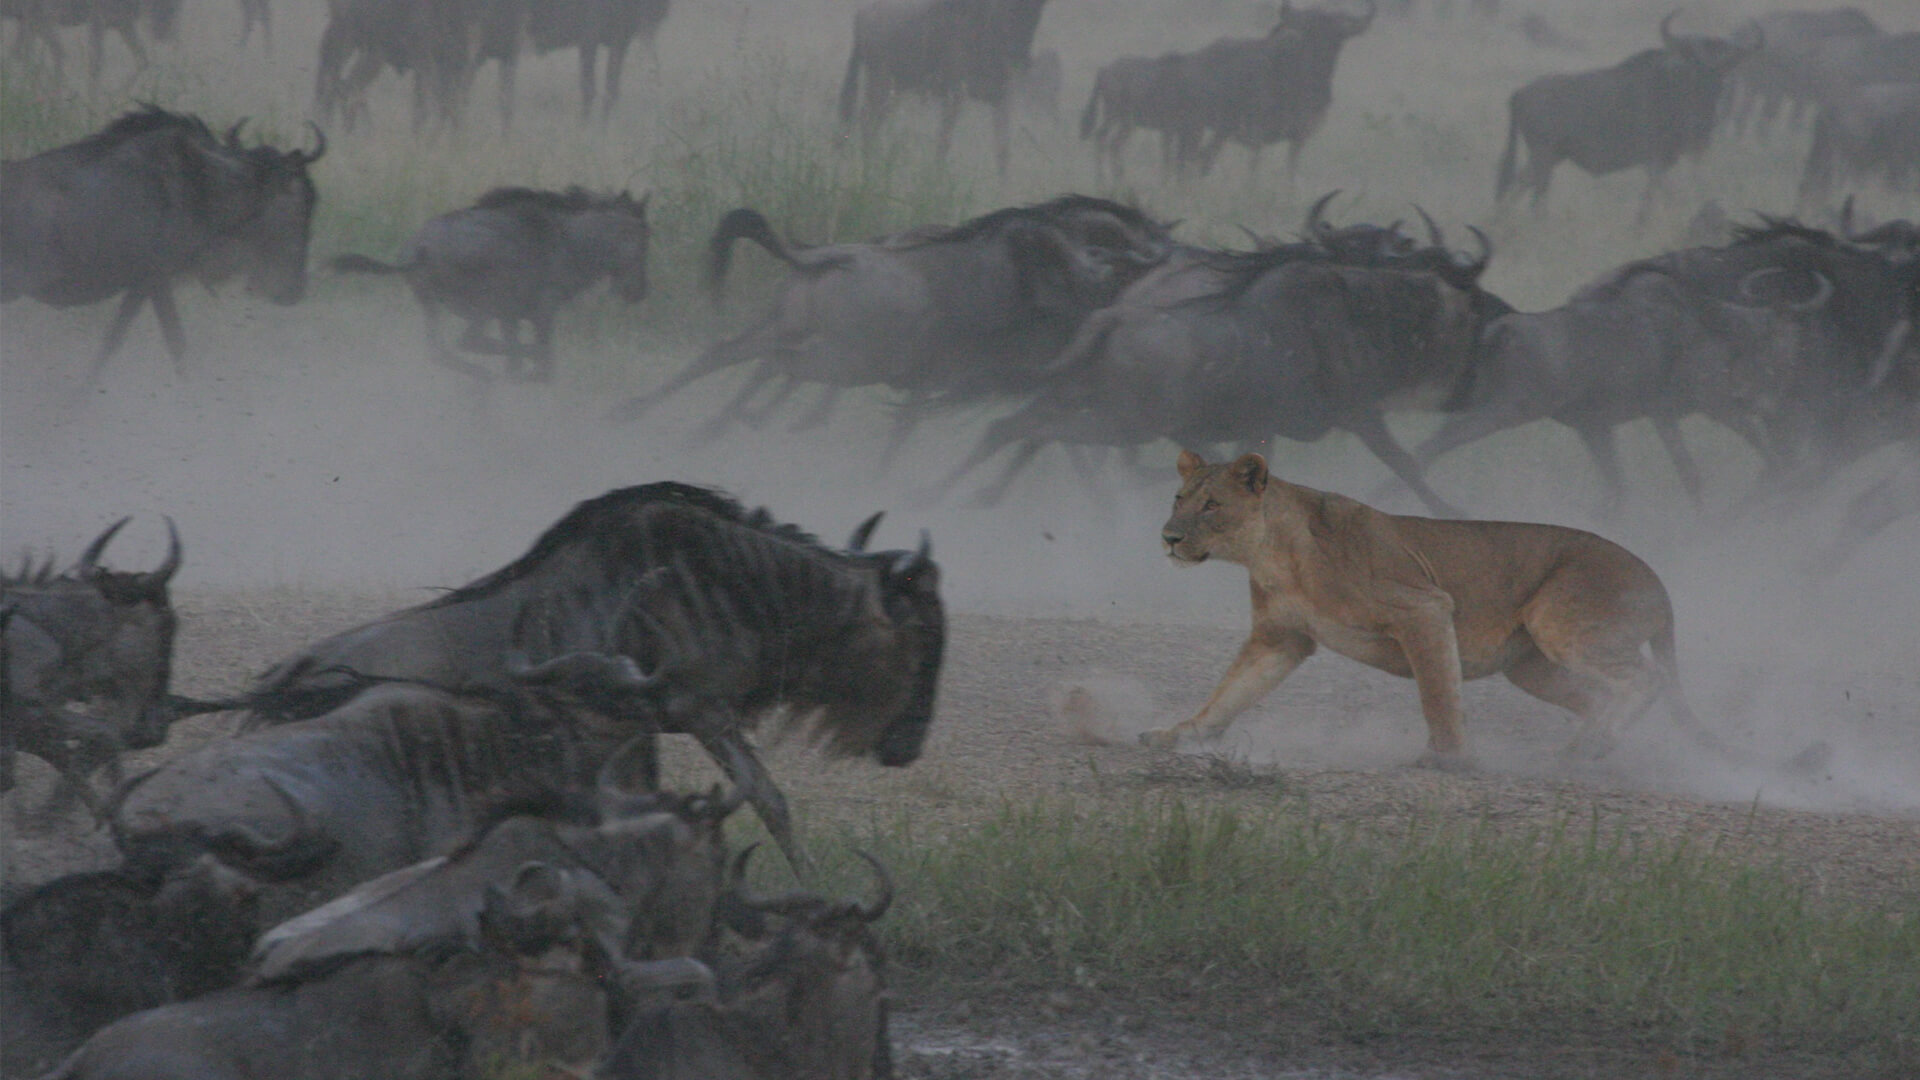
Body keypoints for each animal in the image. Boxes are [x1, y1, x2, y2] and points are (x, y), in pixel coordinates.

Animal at [1141, 450, 1702, 766]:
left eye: (1212, 505)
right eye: (1178, 498)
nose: (1168, 538)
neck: (1271, 552)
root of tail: (1659, 582)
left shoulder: (1425, 607)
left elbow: (1437, 692)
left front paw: (1449, 758)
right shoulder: (1281, 639)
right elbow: (1230, 693)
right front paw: (1182, 734)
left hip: (1559, 619)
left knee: (1645, 679)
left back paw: (1590, 745)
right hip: (1530, 668)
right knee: (1598, 695)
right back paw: (1590, 745)